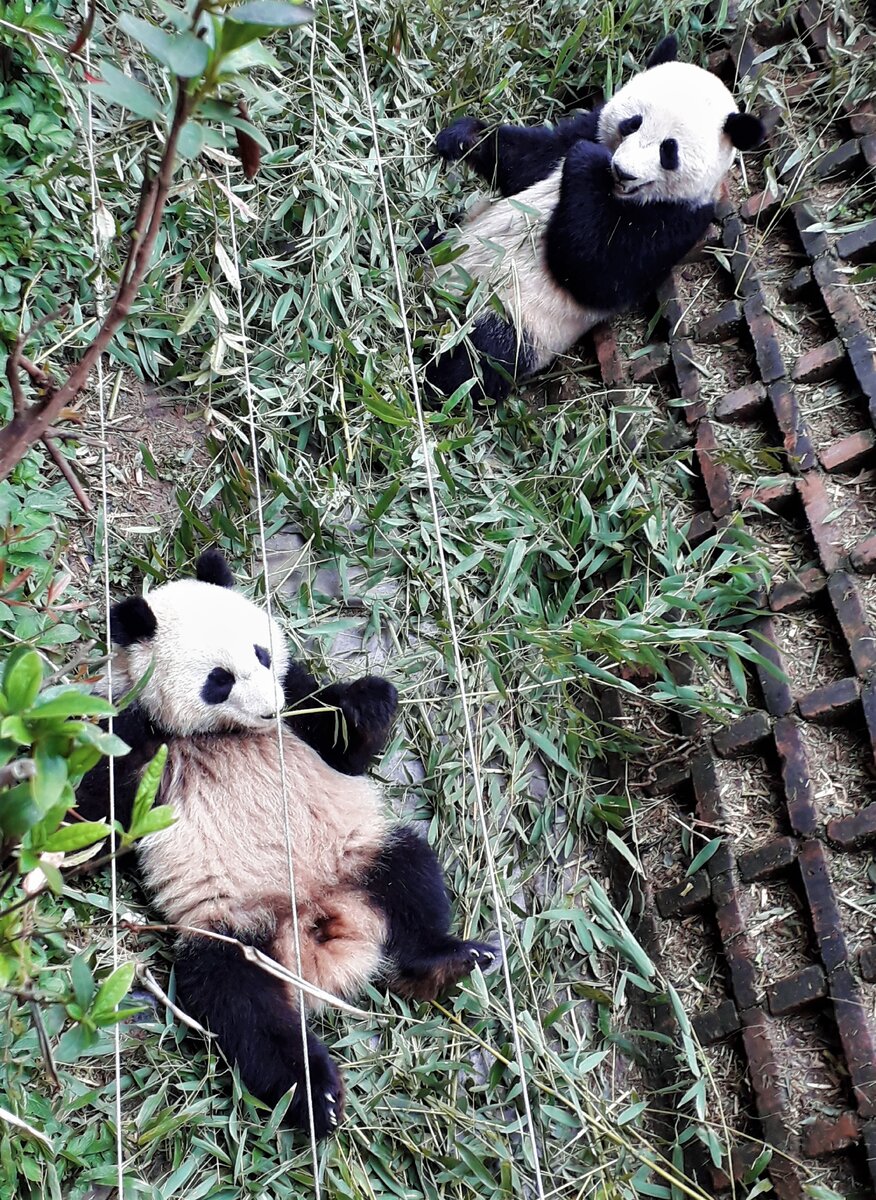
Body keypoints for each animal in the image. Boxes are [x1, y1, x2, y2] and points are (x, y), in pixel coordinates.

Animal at [73, 549, 499, 1132]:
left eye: (262, 653)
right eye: (219, 680)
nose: (268, 708)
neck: (221, 735)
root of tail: (316, 927)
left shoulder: (296, 702)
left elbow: (340, 748)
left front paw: (369, 701)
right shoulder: (137, 736)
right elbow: (95, 811)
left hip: (357, 852)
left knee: (411, 874)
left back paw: (449, 960)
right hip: (229, 931)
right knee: (242, 1007)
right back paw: (314, 1094)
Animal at [427, 32, 763, 403]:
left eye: (668, 151)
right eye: (632, 123)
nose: (623, 170)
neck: (616, 191)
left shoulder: (678, 219)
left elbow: (596, 272)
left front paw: (587, 162)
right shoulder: (581, 136)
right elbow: (527, 157)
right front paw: (462, 136)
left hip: (513, 313)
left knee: (480, 356)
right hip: (455, 236)